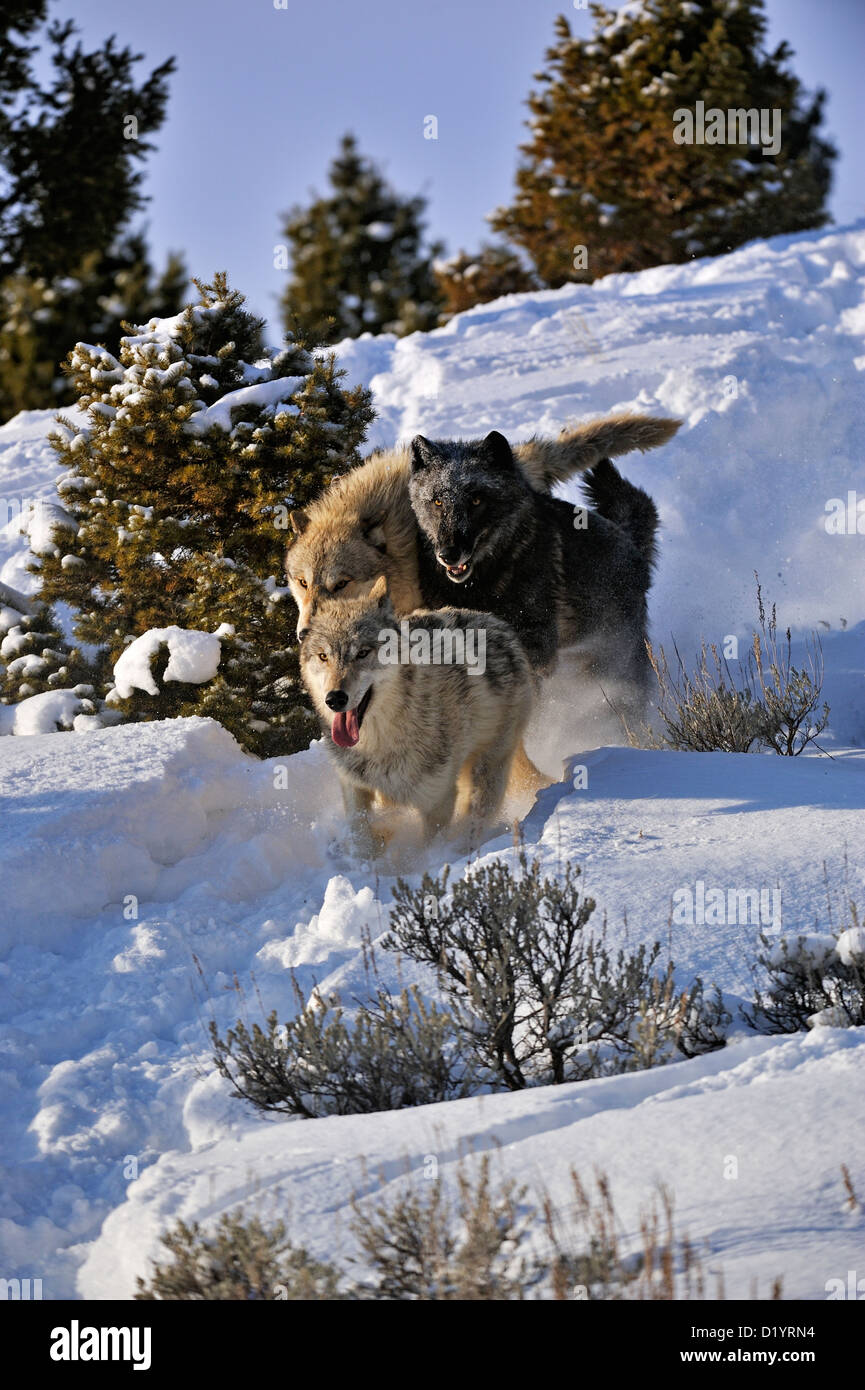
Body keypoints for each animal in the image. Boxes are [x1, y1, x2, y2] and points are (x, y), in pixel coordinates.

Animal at [300, 576, 533, 857]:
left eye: (362, 653)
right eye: (324, 656)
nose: (334, 699)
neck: (378, 743)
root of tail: (497, 623)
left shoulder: (437, 801)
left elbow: (429, 848)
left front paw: (425, 862)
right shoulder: (355, 788)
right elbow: (361, 835)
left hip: (485, 773)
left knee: (473, 821)